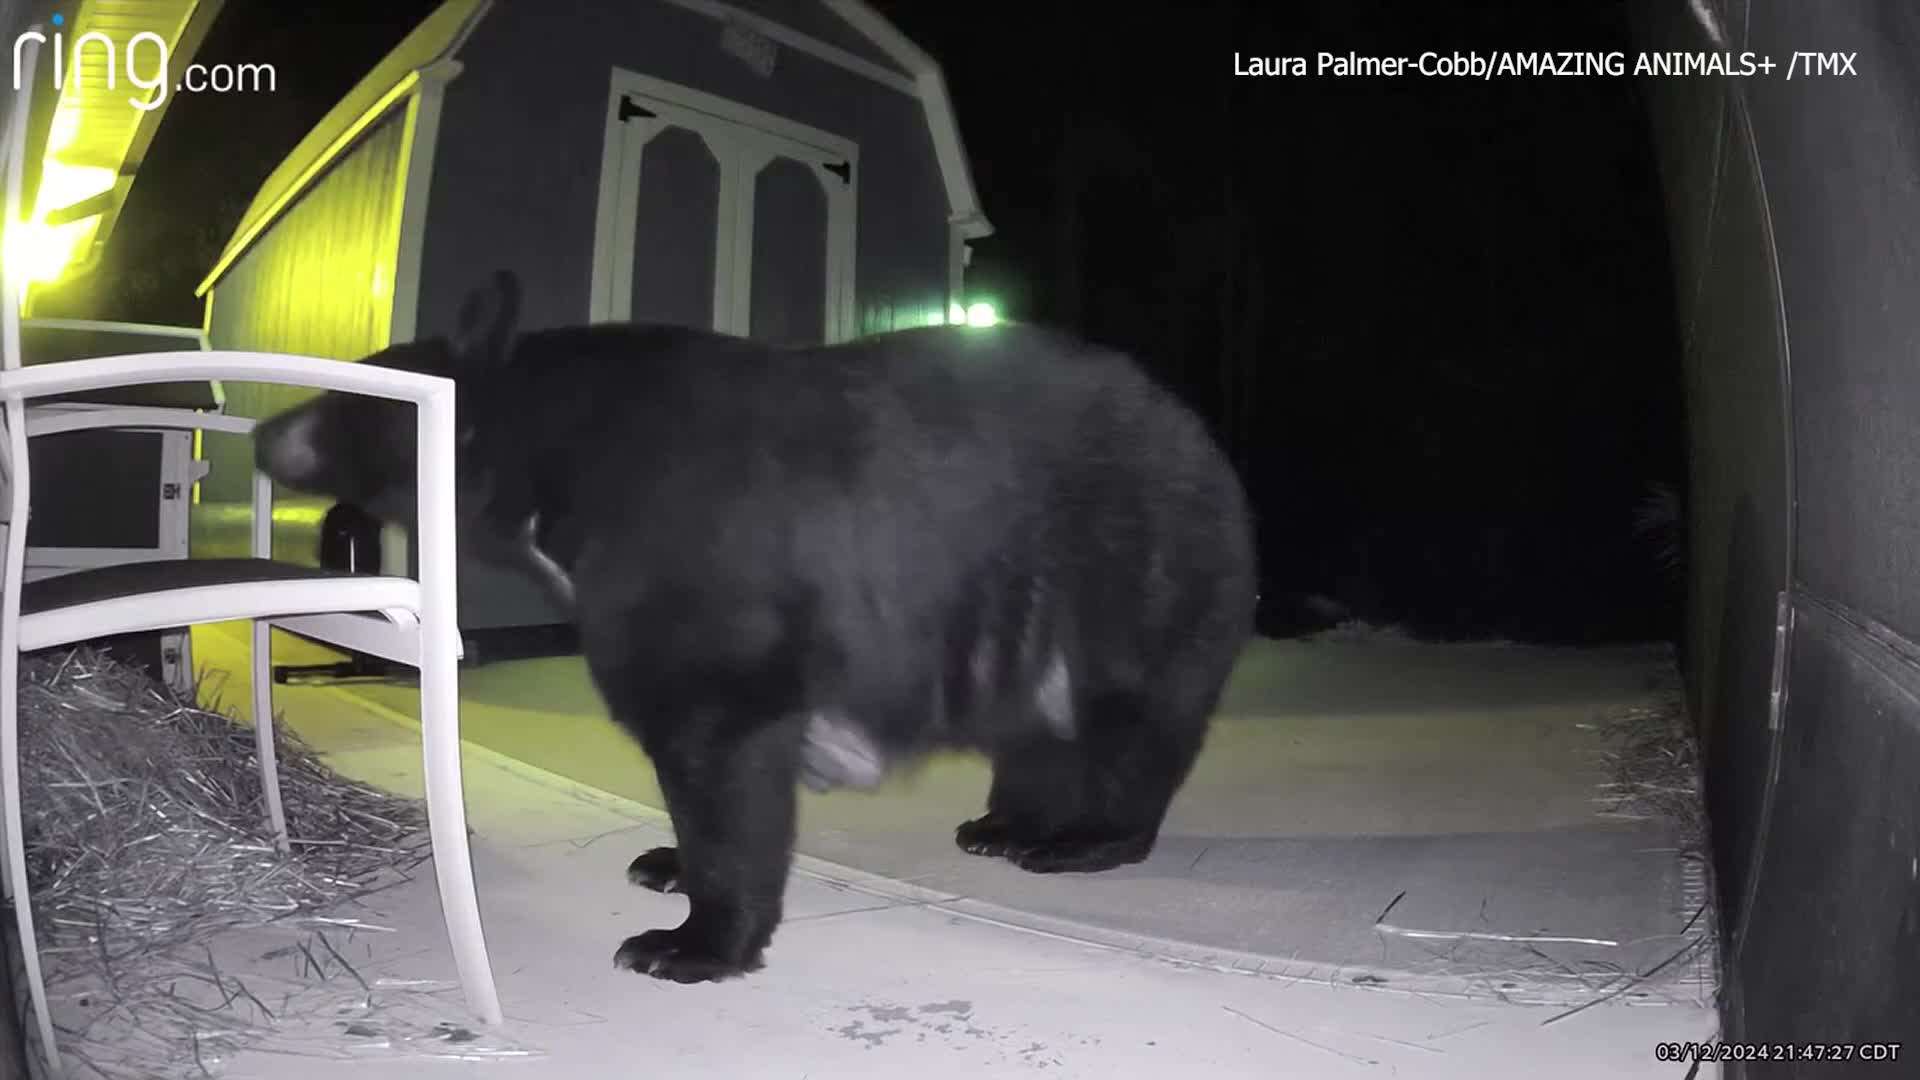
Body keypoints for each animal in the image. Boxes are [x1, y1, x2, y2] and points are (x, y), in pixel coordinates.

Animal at [253, 271, 1257, 984]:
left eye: (344, 388)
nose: (262, 432)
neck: (547, 460)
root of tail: (1208, 443)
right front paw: (666, 863)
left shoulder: (692, 553)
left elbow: (715, 737)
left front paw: (685, 942)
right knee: (1039, 725)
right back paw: (1003, 822)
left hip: (1131, 567)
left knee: (1132, 722)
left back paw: (1078, 840)